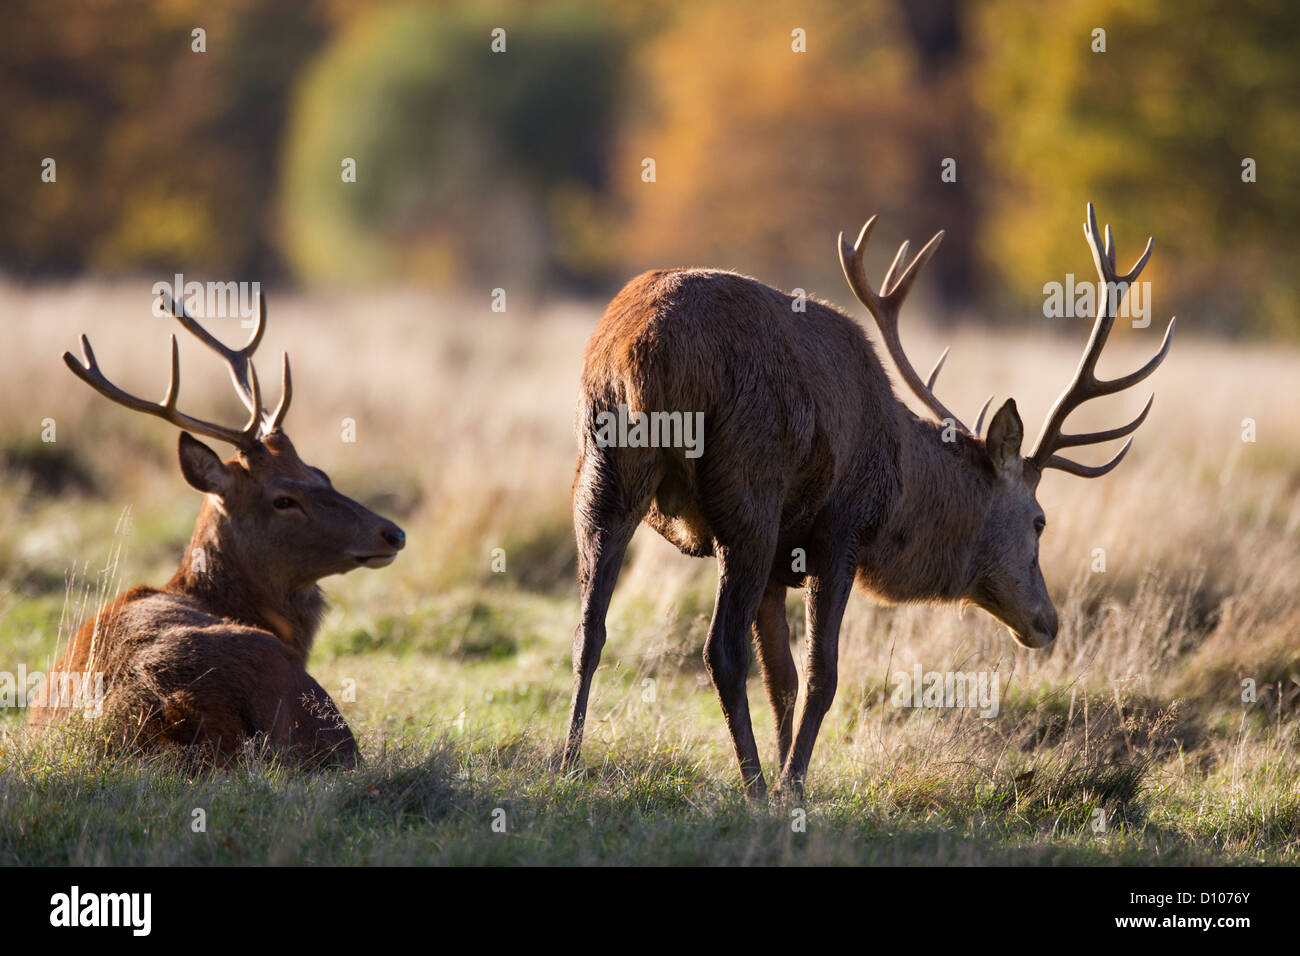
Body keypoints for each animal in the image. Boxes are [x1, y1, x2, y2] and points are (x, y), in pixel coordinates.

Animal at [562, 203, 1174, 797]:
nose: (1048, 621)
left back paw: (568, 762)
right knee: (721, 649)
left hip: (602, 467)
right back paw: (754, 785)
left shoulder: (781, 557)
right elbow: (821, 674)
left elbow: (781, 677)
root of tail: (642, 349)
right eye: (1040, 520)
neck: (899, 486)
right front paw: (792, 785)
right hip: (750, 486)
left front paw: (784, 767)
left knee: (590, 628)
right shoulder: (839, 532)